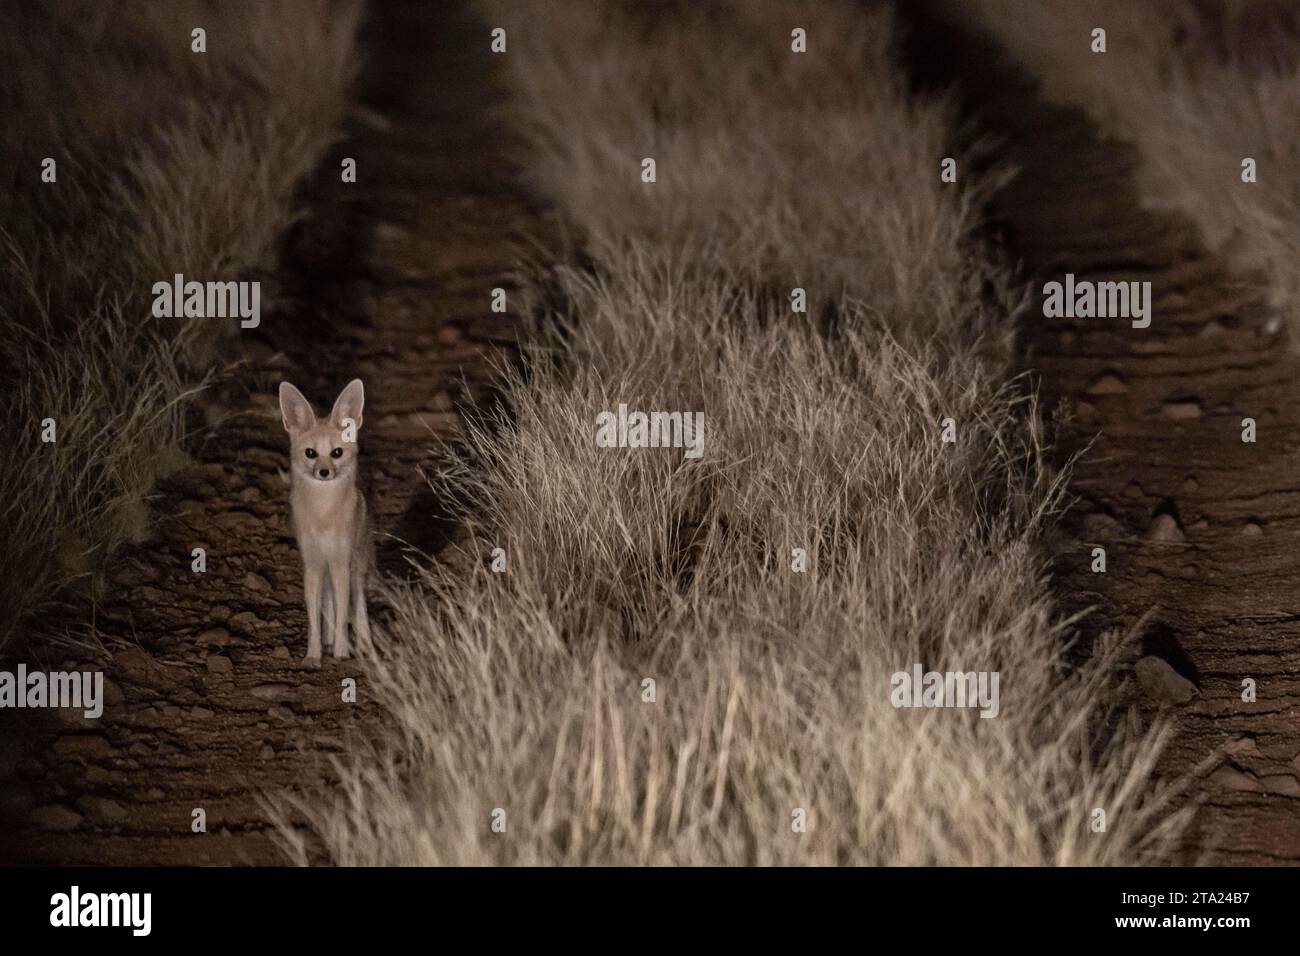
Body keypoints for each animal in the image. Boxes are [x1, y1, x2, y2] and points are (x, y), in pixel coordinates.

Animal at [278, 378, 373, 666]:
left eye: (337, 452)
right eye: (310, 453)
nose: (324, 472)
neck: (323, 513)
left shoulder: (341, 561)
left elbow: (344, 612)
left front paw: (342, 651)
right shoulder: (313, 562)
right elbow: (314, 616)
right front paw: (313, 655)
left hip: (356, 565)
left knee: (359, 603)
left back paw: (363, 642)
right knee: (329, 602)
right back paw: (329, 641)